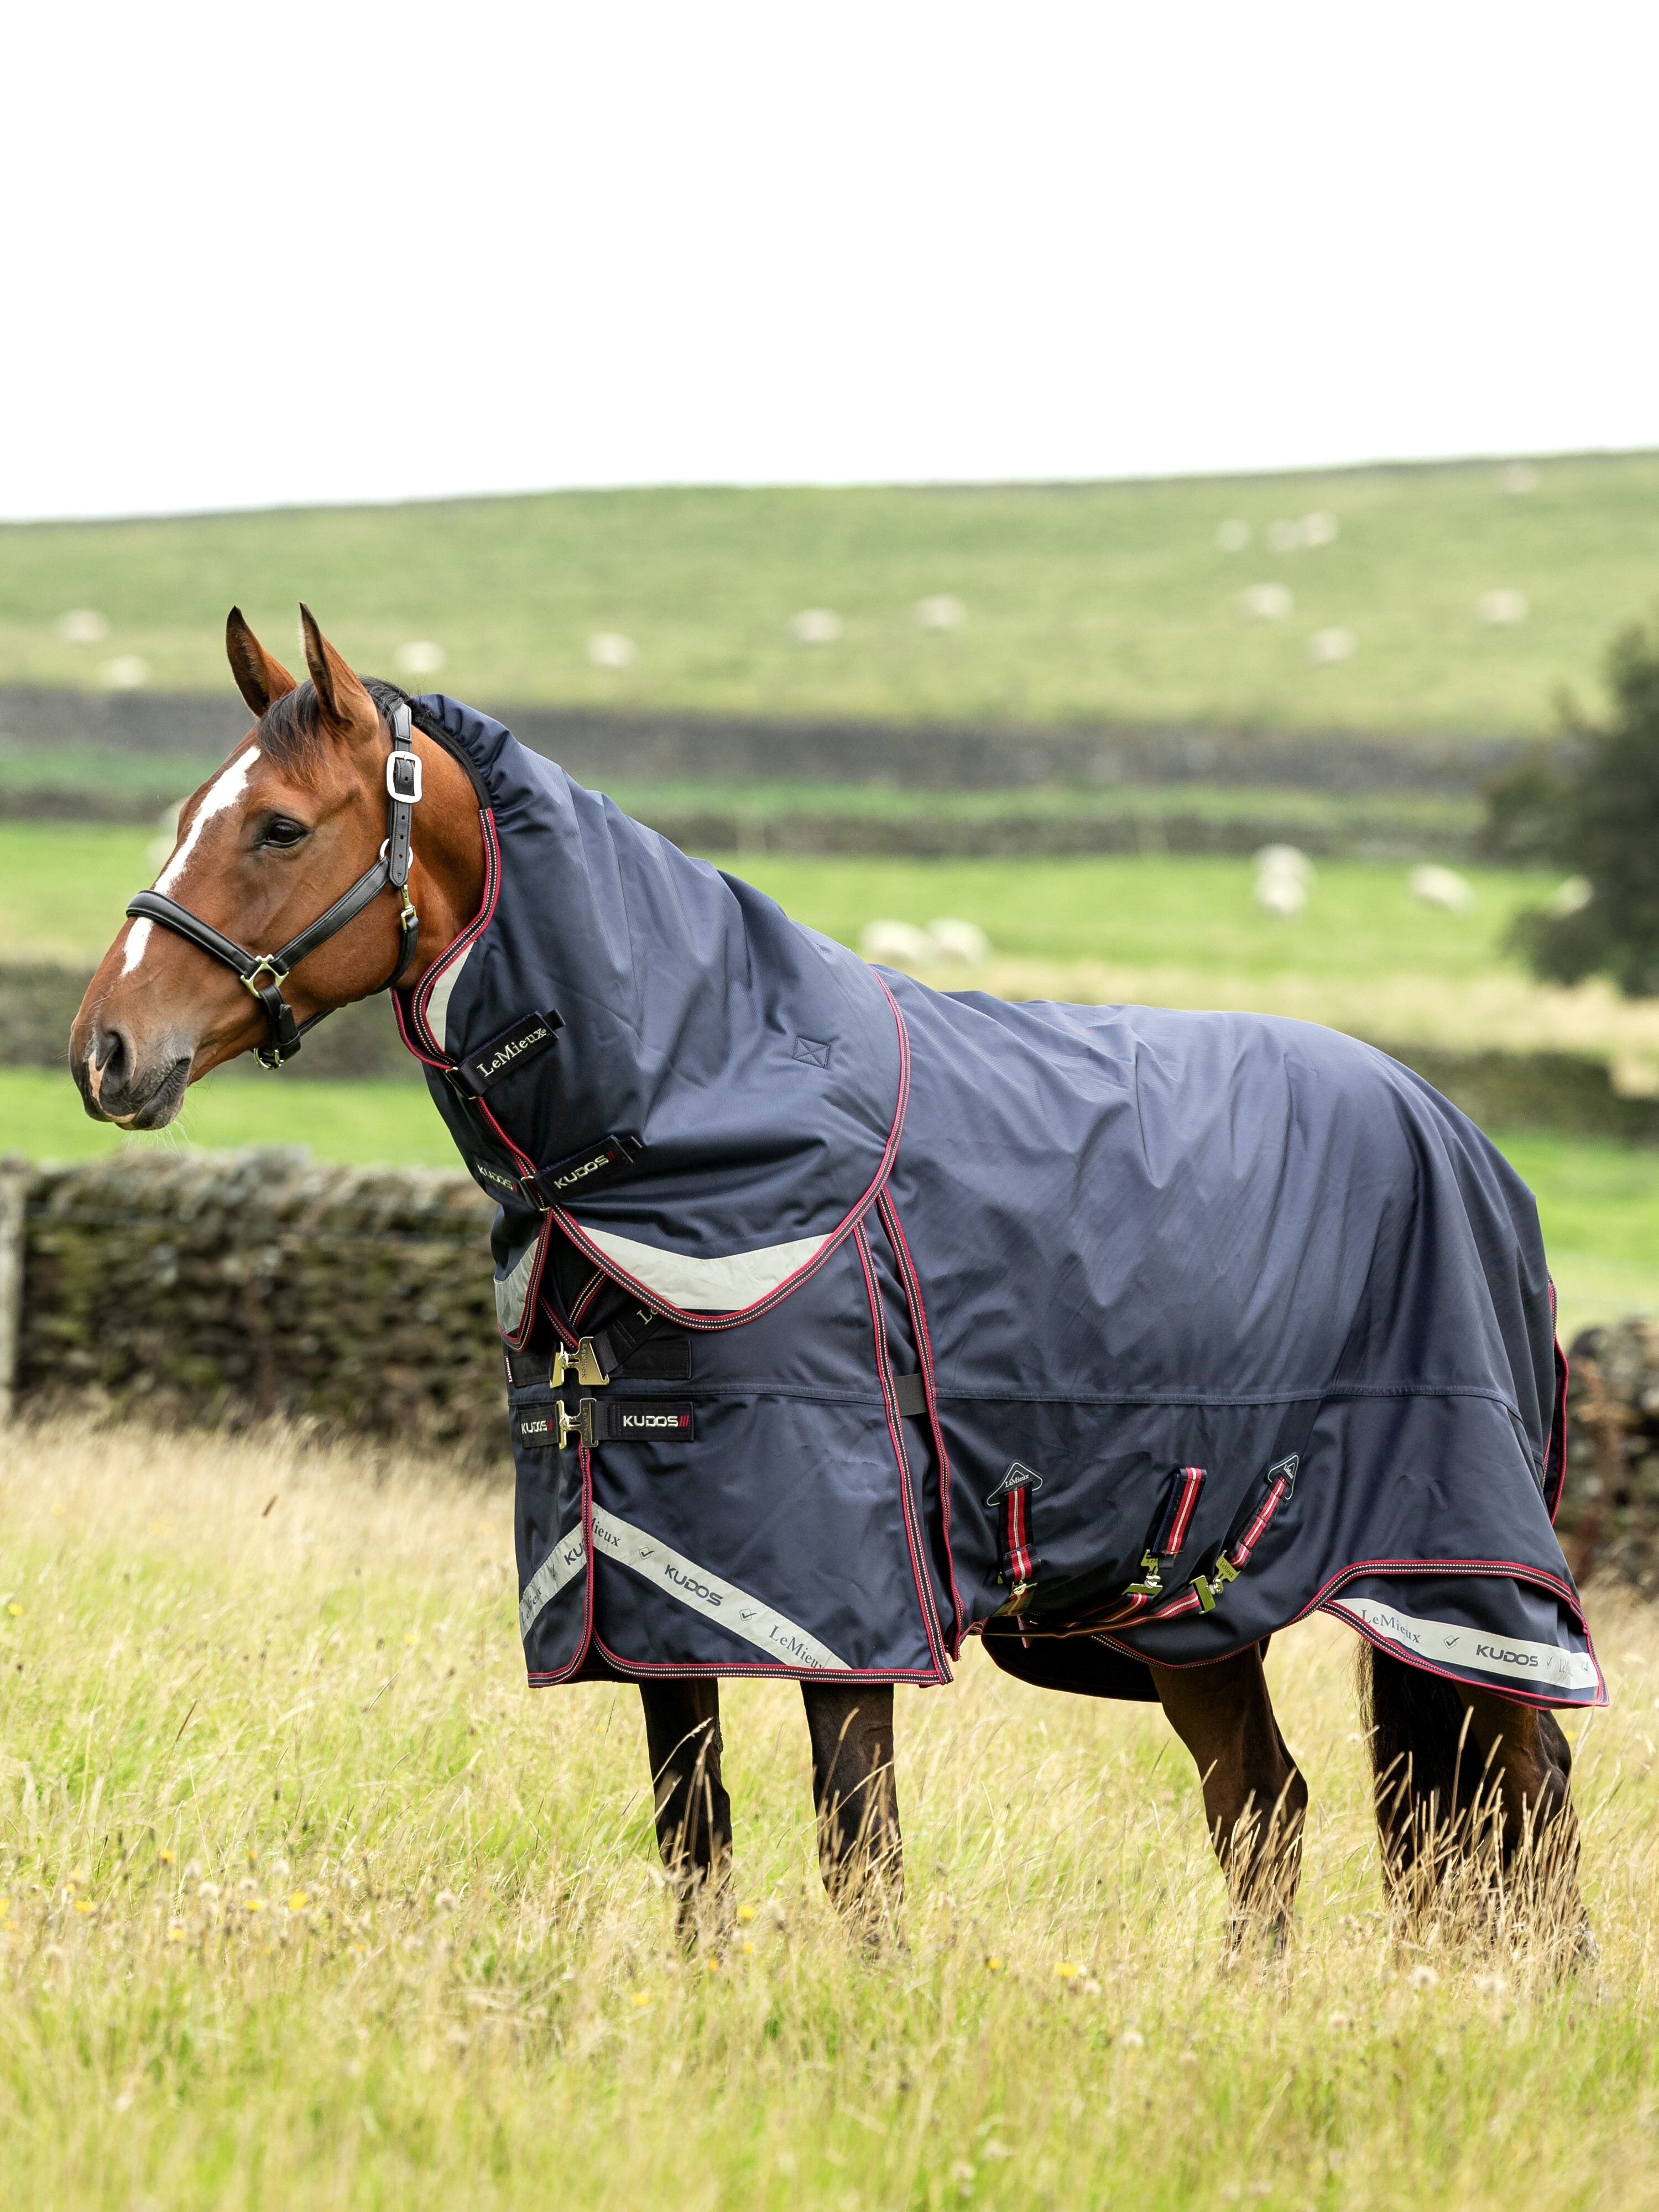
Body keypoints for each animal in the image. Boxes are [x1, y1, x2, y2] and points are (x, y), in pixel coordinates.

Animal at [71, 606, 1592, 1953]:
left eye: (278, 825)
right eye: (194, 812)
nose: (106, 1050)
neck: (698, 1112)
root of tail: (1462, 1137)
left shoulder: (842, 1603)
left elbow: (858, 1855)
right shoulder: (652, 1594)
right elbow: (695, 1844)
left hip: (1459, 1576)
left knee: (1530, 1803)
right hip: (1196, 1604)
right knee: (1265, 1810)